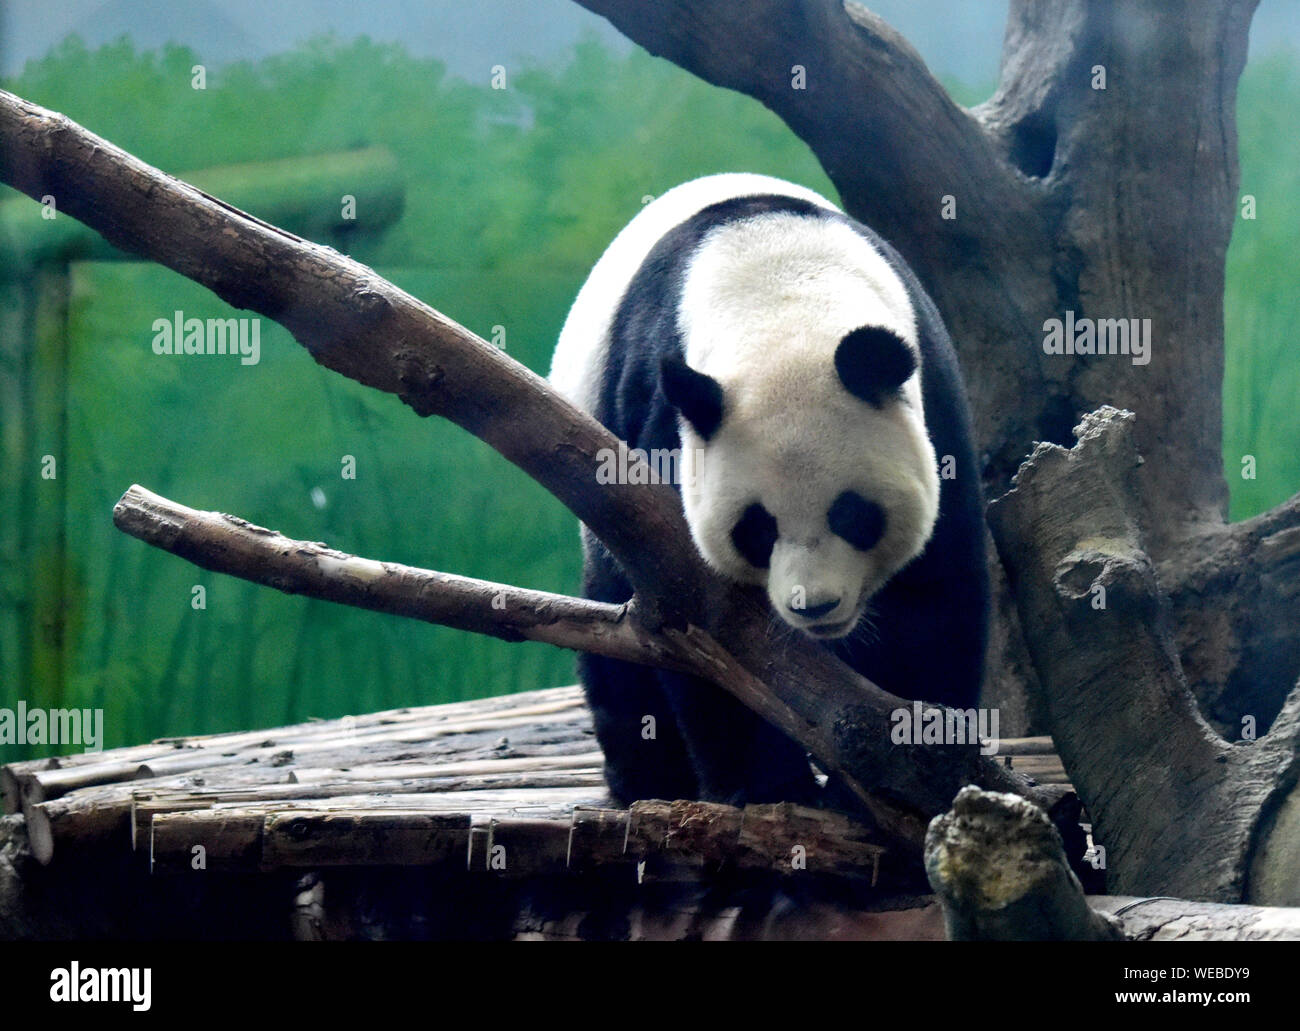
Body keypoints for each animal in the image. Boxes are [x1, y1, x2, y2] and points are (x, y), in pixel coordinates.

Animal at [549, 173, 989, 808]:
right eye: (757, 530)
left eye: (854, 516)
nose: (815, 606)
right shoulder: (663, 422)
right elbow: (699, 617)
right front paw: (767, 790)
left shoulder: (931, 394)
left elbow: (932, 595)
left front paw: (903, 776)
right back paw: (645, 780)